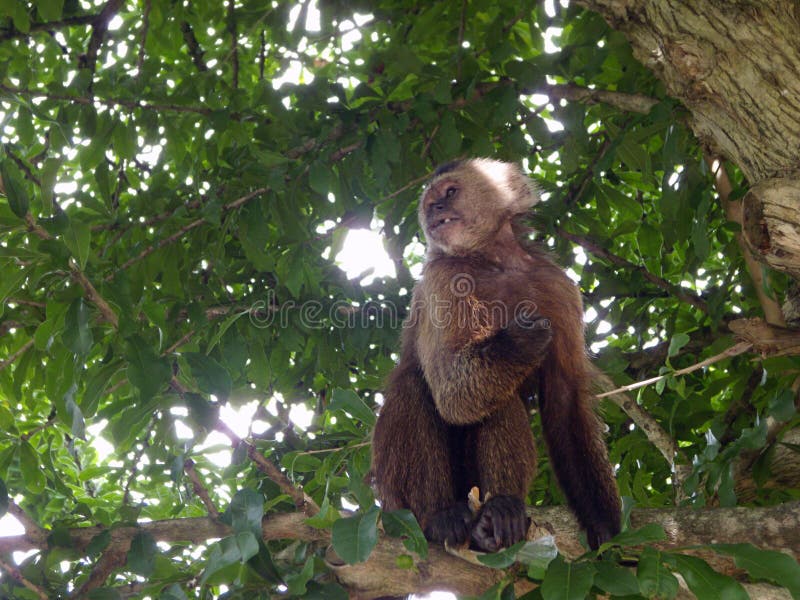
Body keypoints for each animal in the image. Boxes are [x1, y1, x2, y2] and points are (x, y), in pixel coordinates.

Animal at [371, 158, 621, 552]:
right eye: (429, 203)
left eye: (450, 192)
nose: (434, 209)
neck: (494, 260)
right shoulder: (444, 277)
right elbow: (453, 394)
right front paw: (524, 338)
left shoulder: (559, 287)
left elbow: (564, 400)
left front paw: (604, 526)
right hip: (394, 503)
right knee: (421, 387)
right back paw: (440, 517)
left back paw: (499, 510)